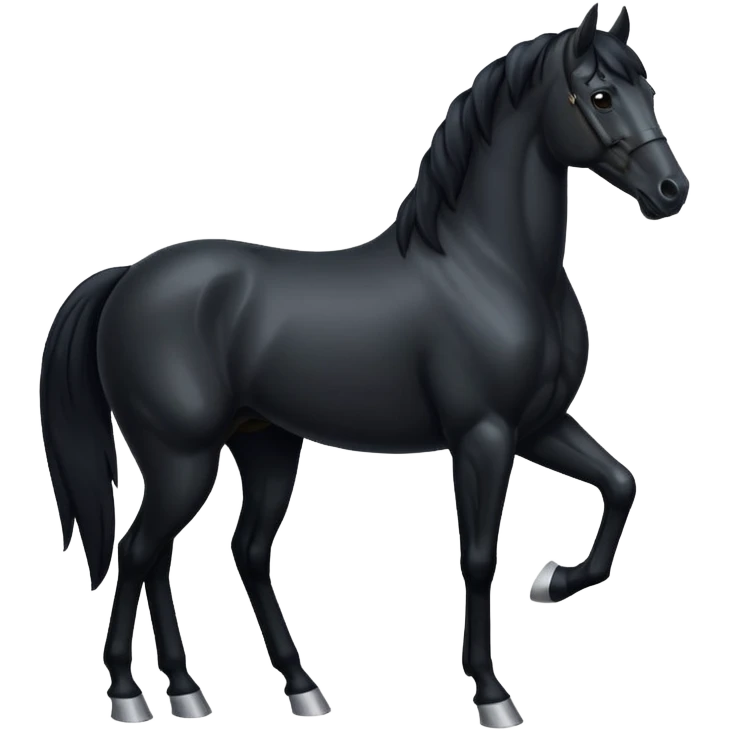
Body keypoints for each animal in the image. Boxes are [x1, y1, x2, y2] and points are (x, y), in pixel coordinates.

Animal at [39, 4, 686, 727]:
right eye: (600, 96)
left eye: (648, 89)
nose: (671, 190)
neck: (492, 266)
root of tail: (127, 278)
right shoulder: (484, 436)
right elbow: (478, 556)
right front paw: (492, 693)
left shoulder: (540, 426)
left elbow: (620, 484)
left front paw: (554, 580)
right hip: (182, 458)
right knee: (139, 551)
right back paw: (131, 694)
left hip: (261, 446)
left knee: (224, 553)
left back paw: (242, 688)